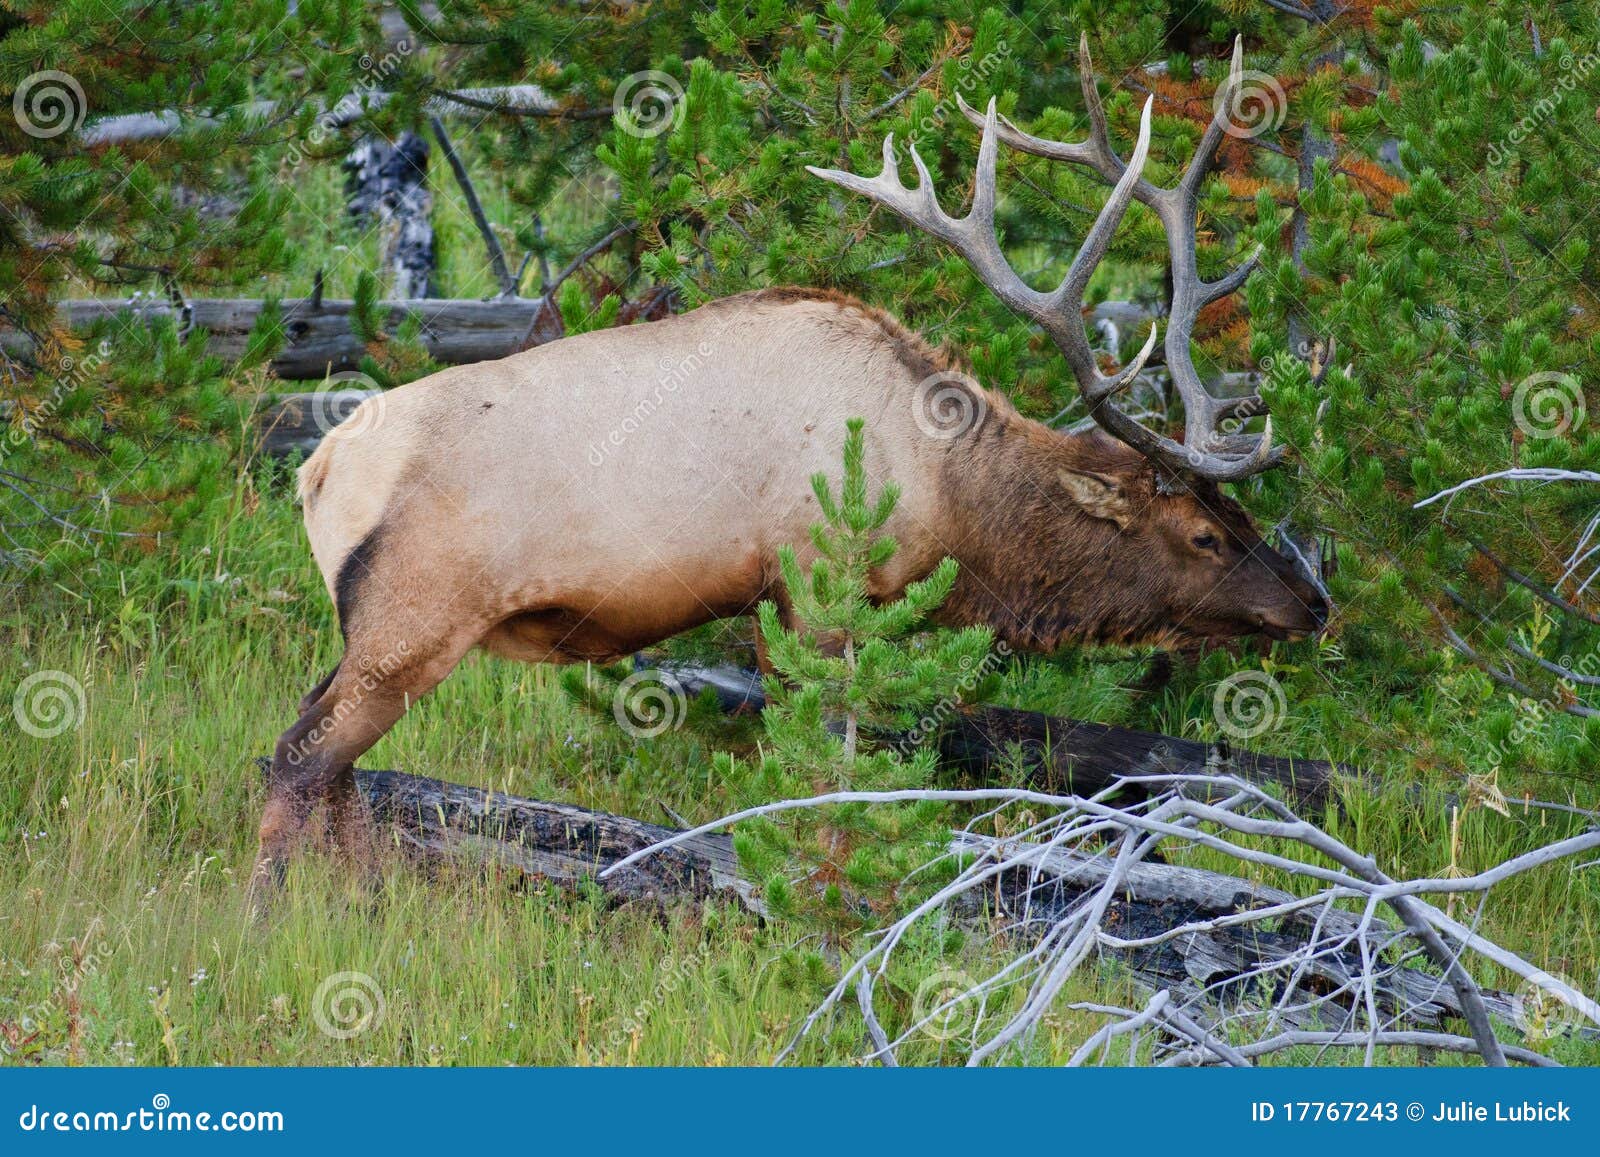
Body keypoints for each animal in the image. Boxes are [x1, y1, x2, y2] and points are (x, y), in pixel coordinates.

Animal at [256, 36, 1328, 878]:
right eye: (1200, 532)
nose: (1311, 602)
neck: (946, 494)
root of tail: (316, 471)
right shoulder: (812, 584)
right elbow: (821, 772)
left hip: (371, 628)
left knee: (333, 762)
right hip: (415, 616)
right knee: (300, 754)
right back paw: (270, 920)